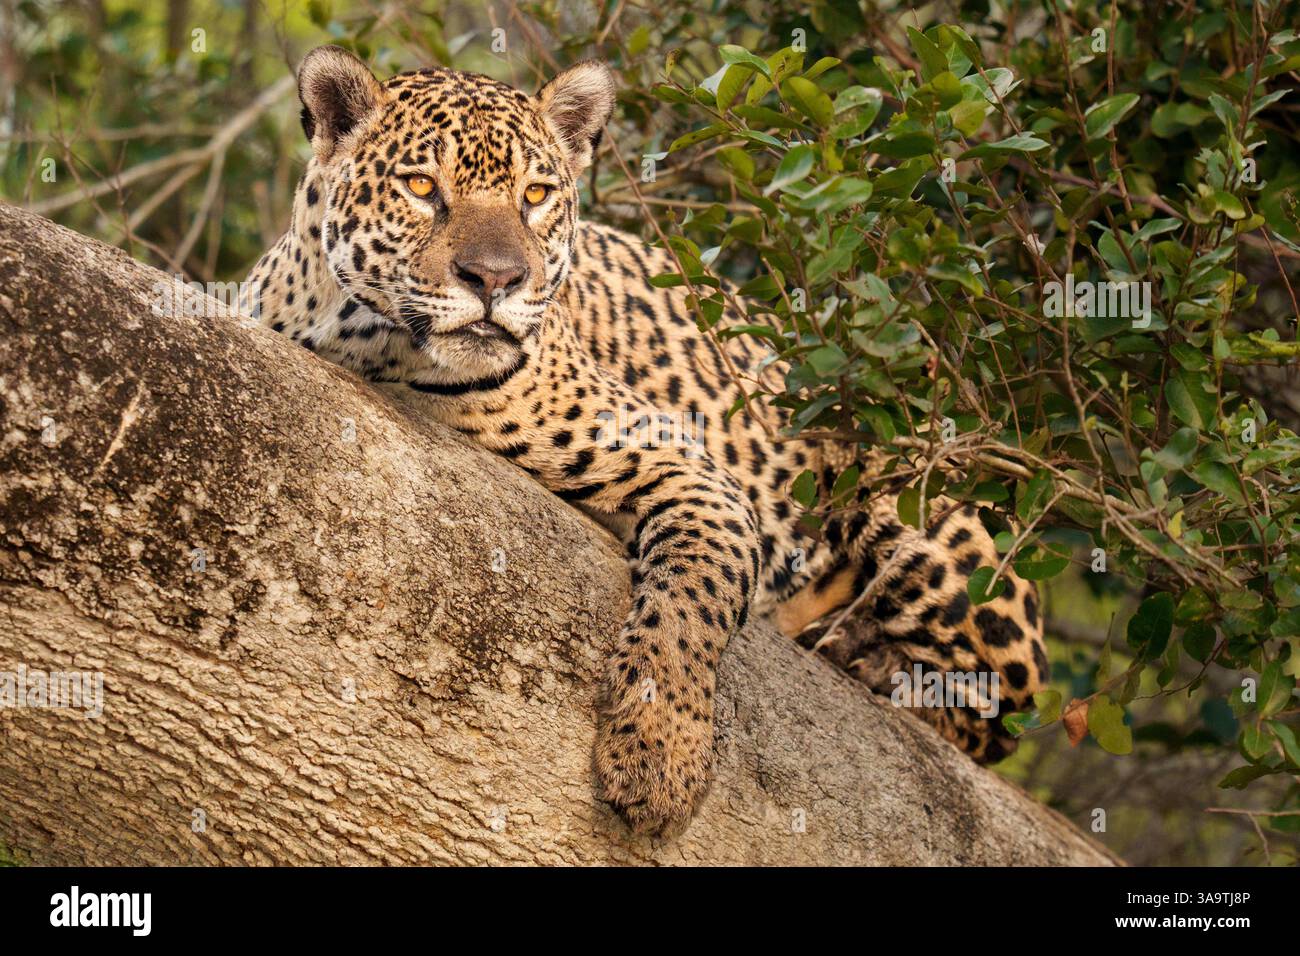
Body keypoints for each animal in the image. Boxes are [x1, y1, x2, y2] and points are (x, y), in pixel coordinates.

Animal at [244, 45, 1050, 836]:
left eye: (536, 195)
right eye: (419, 186)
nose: (496, 280)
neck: (363, 340)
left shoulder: (693, 469)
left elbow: (694, 600)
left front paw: (661, 754)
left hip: (921, 515)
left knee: (1005, 705)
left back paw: (864, 657)